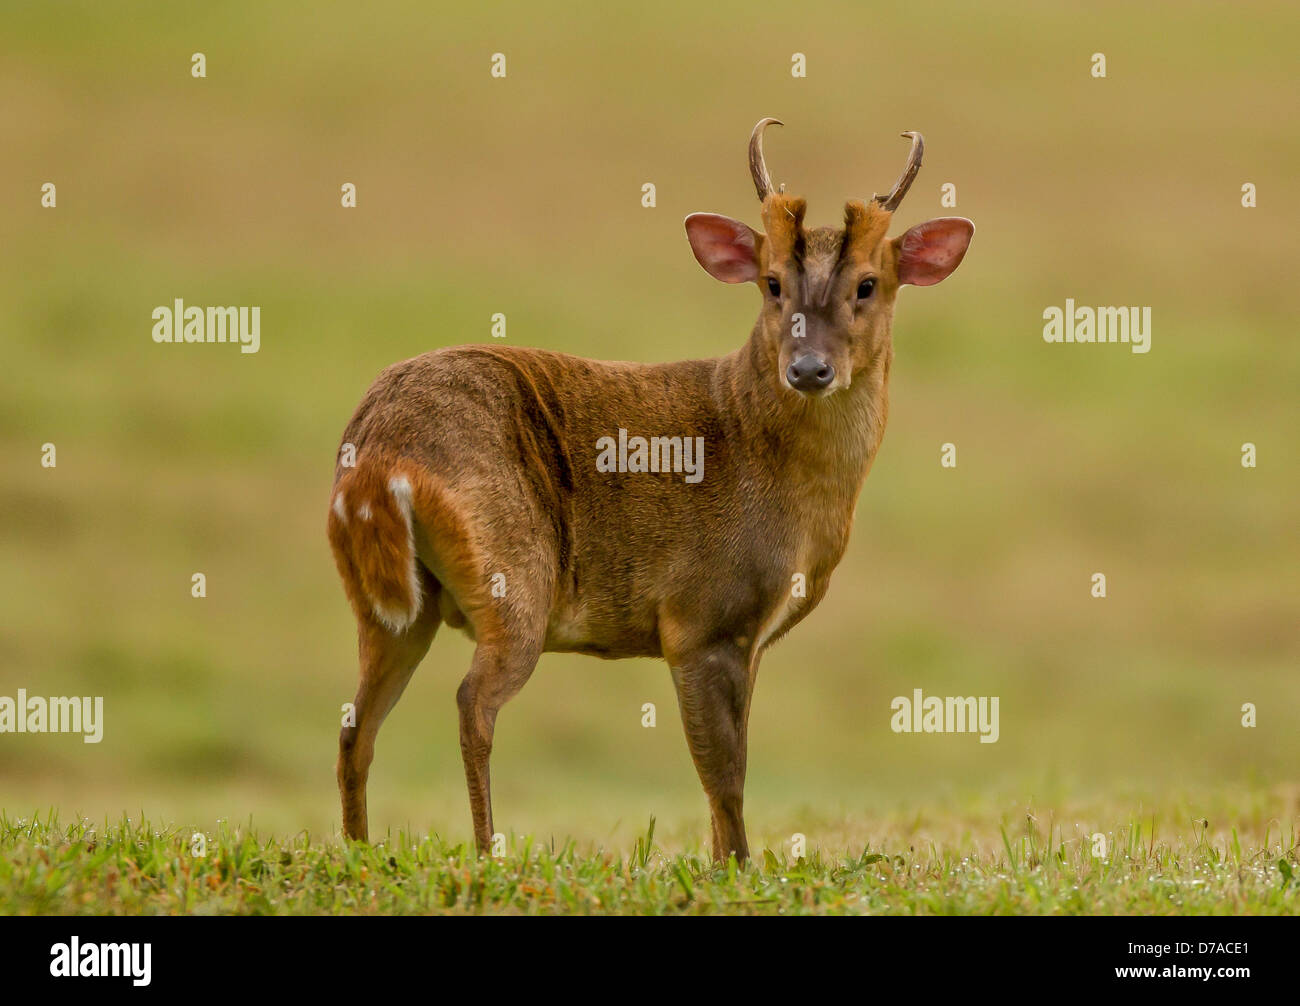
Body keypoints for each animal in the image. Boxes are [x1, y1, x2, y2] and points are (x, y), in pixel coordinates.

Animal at [327, 118, 974, 862]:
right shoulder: (701, 616)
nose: (809, 369)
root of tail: (377, 455)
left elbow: (728, 772)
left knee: (356, 725)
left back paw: (360, 851)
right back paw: (488, 851)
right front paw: (739, 869)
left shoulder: (746, 638)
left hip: (392, 605)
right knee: (472, 703)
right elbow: (725, 776)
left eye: (869, 284)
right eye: (772, 283)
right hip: (514, 572)